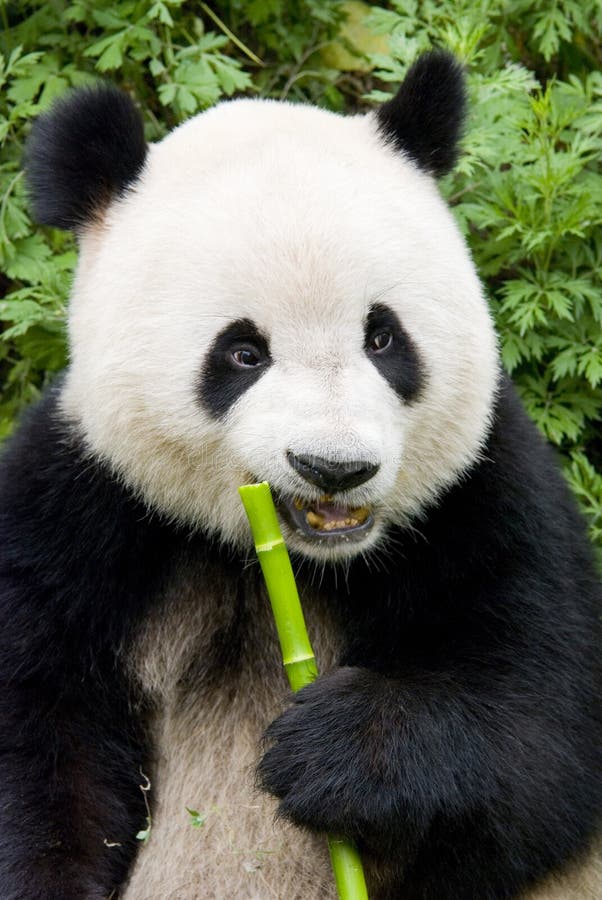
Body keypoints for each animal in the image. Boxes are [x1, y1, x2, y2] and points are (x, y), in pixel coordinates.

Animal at [0, 50, 600, 900]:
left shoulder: (487, 495)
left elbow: (545, 731)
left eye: (383, 337)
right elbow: (42, 743)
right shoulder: (78, 507)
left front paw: (335, 749)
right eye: (243, 352)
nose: (335, 467)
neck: (281, 562)